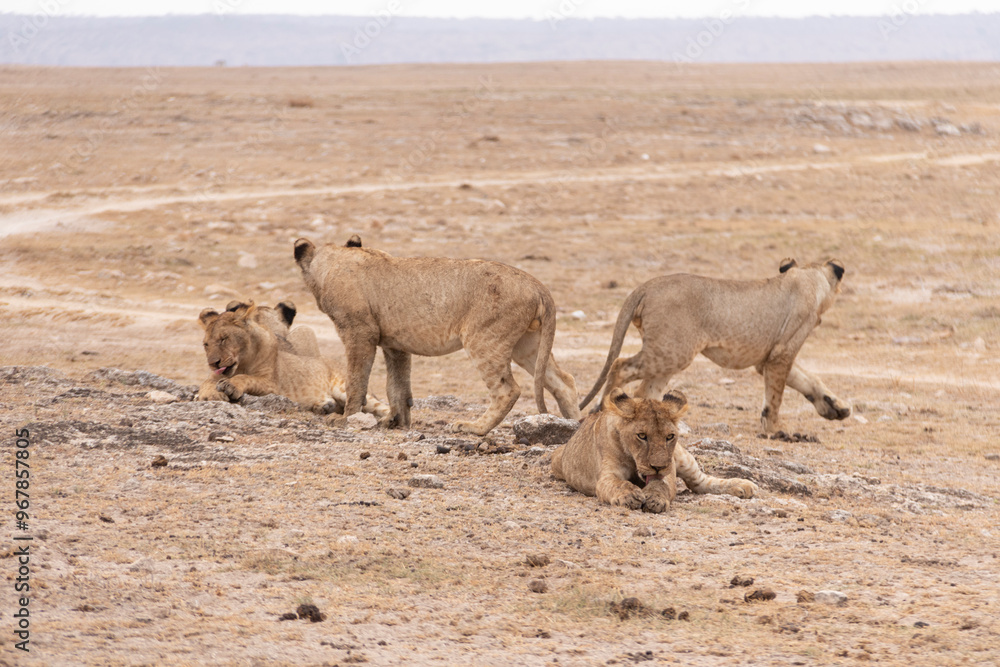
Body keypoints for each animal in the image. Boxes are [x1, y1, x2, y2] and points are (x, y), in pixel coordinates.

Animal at [195, 301, 389, 419]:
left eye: (224, 339)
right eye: (206, 344)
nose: (213, 363)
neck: (242, 362)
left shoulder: (272, 384)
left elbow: (246, 378)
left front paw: (231, 385)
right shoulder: (215, 375)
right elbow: (205, 383)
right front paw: (209, 395)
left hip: (345, 387)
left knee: (377, 406)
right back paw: (323, 406)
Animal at [293, 234, 580, 435]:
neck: (334, 262)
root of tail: (537, 285)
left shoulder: (359, 334)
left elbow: (356, 380)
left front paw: (346, 419)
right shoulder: (395, 344)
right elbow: (397, 387)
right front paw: (395, 422)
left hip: (483, 339)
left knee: (507, 389)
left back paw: (474, 428)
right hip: (527, 344)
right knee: (563, 381)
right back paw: (571, 427)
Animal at [552, 389, 758, 512]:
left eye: (670, 436)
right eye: (642, 436)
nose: (658, 467)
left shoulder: (669, 470)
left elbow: (661, 484)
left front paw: (654, 499)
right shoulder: (606, 476)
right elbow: (618, 484)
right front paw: (629, 496)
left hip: (682, 458)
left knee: (700, 482)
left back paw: (743, 486)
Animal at [579, 258, 851, 434]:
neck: (810, 275)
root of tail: (646, 286)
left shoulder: (767, 358)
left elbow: (807, 378)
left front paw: (836, 408)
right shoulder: (781, 354)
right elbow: (776, 396)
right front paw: (776, 430)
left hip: (669, 354)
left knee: (645, 390)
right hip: (674, 351)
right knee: (620, 366)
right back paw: (603, 409)